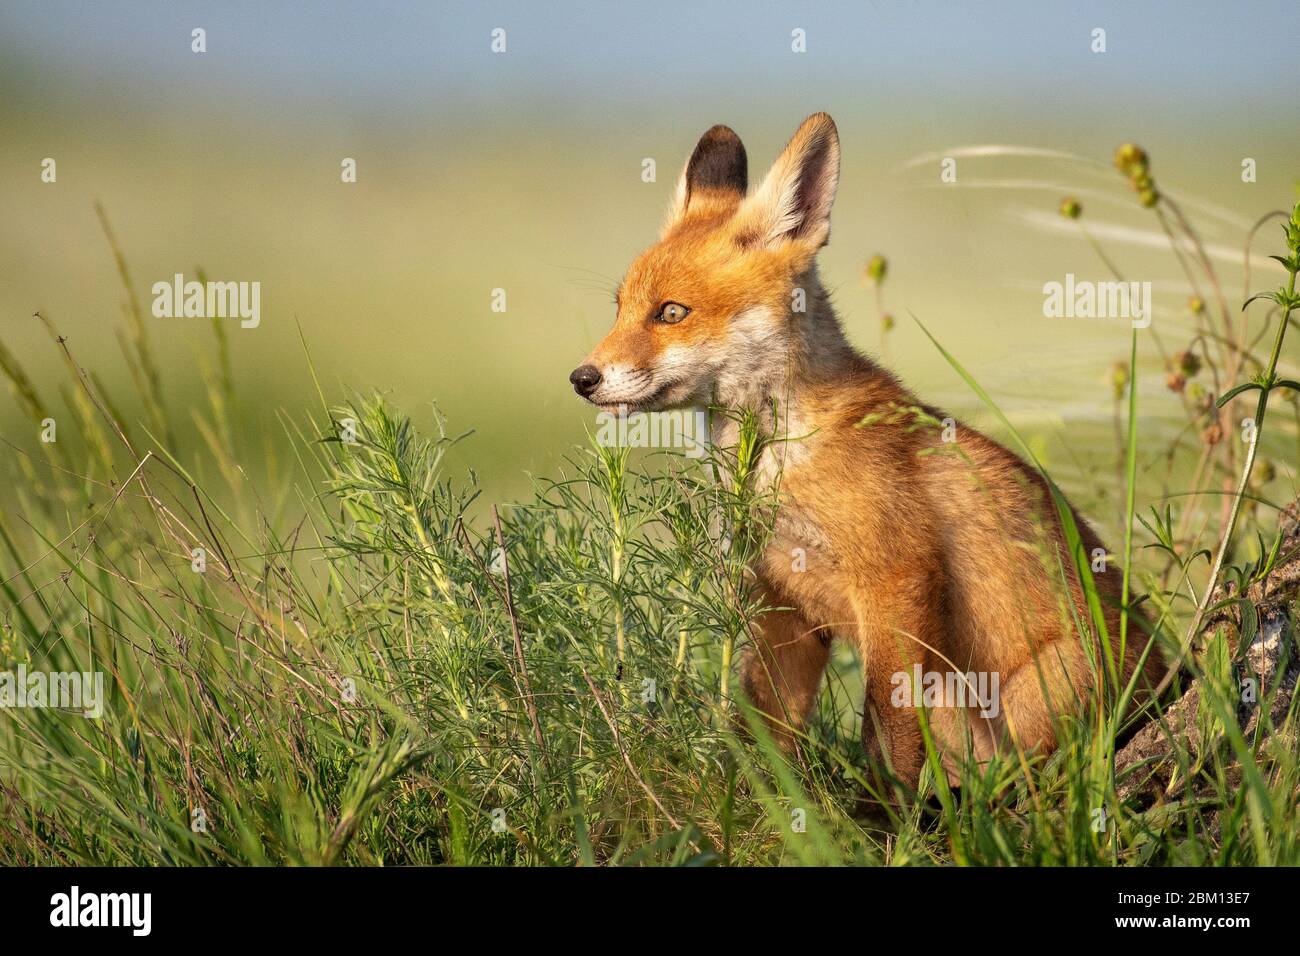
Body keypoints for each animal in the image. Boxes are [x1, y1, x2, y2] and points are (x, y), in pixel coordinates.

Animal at [569, 113, 1162, 787]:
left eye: (671, 312)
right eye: (620, 309)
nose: (582, 378)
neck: (778, 465)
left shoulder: (895, 583)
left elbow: (887, 739)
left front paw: (881, 815)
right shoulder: (781, 603)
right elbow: (762, 730)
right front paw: (757, 800)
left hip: (1021, 698)